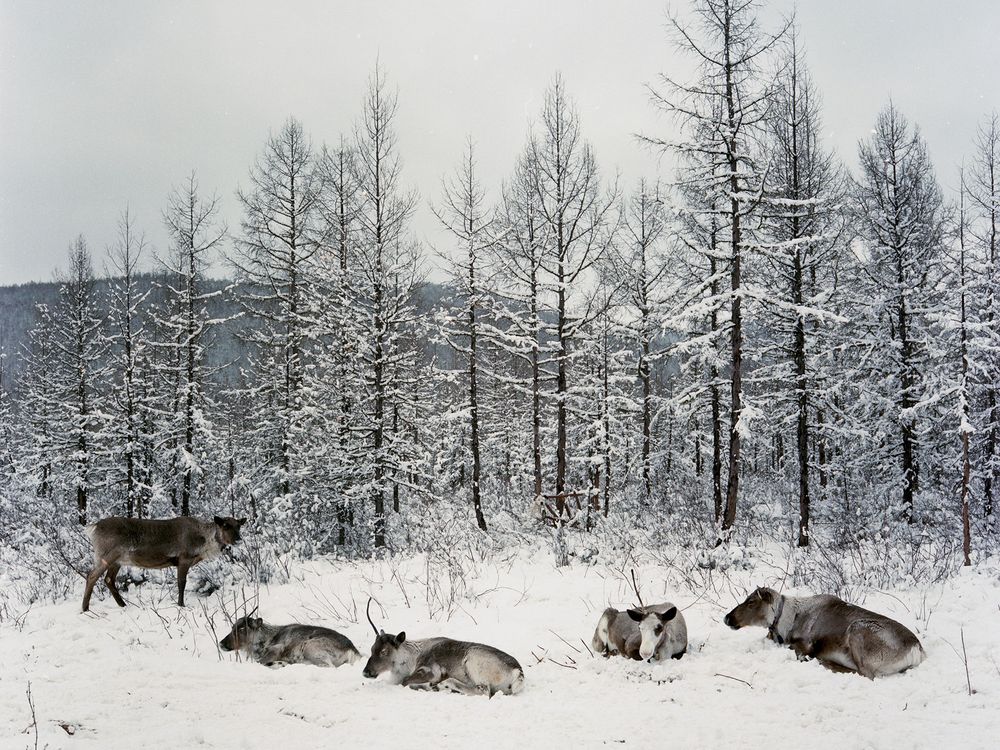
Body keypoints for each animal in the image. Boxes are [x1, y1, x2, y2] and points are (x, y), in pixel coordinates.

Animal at [81, 515, 246, 612]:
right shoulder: (184, 559)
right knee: (91, 576)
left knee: (108, 579)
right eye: (225, 525)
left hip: (117, 561)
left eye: (238, 526)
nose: (239, 539)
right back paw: (85, 608)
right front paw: (181, 605)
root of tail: (93, 527)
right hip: (106, 556)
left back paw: (123, 605)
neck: (204, 543)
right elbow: (181, 583)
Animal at [218, 610, 360, 668]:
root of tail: (353, 651)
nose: (221, 643)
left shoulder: (277, 648)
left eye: (242, 628)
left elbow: (261, 662)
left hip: (310, 647)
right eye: (232, 627)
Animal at [361, 599, 525, 697]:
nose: (365, 672)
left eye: (384, 651)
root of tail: (518, 671)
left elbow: (405, 681)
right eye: (372, 648)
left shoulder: (429, 670)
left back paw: (444, 685)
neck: (410, 658)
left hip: (473, 662)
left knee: (484, 691)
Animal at [724, 586, 926, 679]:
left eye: (751, 602)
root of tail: (917, 650)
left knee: (865, 674)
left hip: (859, 630)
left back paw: (826, 662)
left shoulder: (805, 645)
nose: (727, 618)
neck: (786, 621)